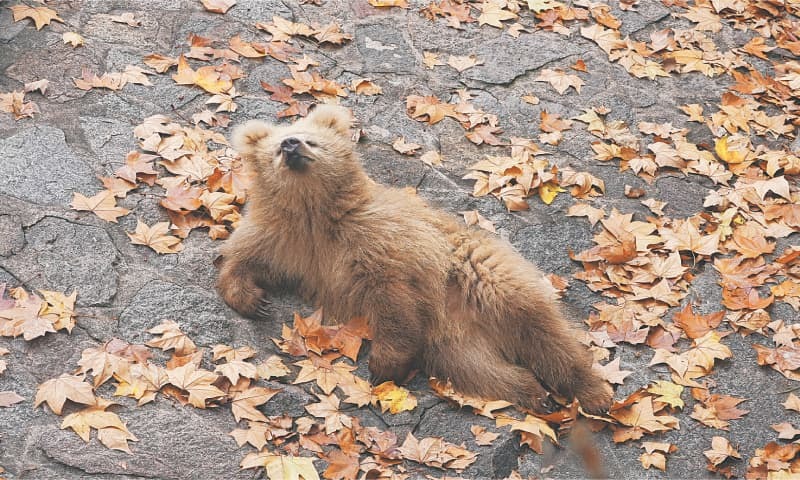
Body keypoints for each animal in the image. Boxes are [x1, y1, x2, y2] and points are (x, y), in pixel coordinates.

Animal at [215, 105, 613, 414]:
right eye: (275, 148)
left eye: (311, 139)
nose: (290, 144)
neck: (315, 213)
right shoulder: (287, 242)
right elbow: (244, 259)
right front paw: (253, 300)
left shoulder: (378, 242)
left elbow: (394, 298)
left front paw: (381, 364)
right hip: (453, 344)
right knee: (480, 371)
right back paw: (532, 392)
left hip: (485, 278)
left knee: (544, 332)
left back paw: (594, 394)